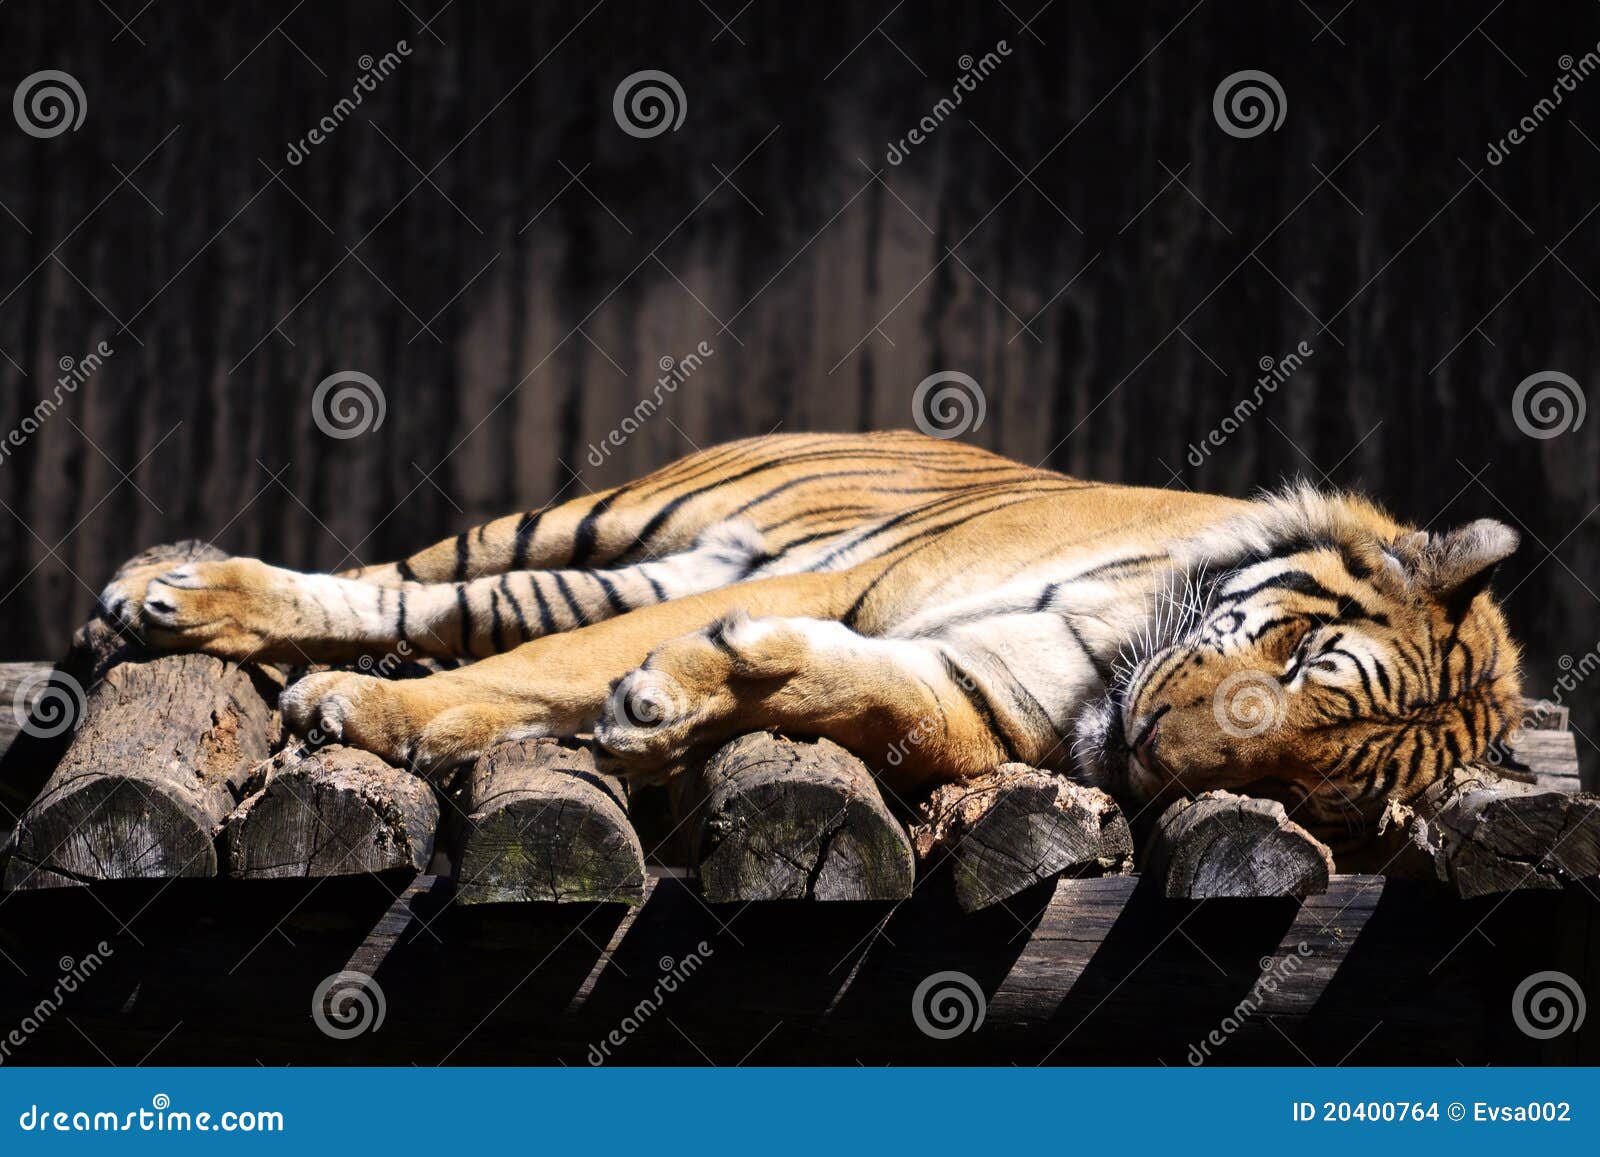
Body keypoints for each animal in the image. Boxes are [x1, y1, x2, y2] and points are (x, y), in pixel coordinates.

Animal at [98, 430, 1523, 844]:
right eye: (1294, 657)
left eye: (1307, 780)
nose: (1158, 757)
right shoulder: (853, 584)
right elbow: (531, 676)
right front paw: (367, 715)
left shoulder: (970, 692)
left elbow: (870, 699)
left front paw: (683, 698)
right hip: (604, 517)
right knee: (404, 584)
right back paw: (164, 590)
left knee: (464, 614)